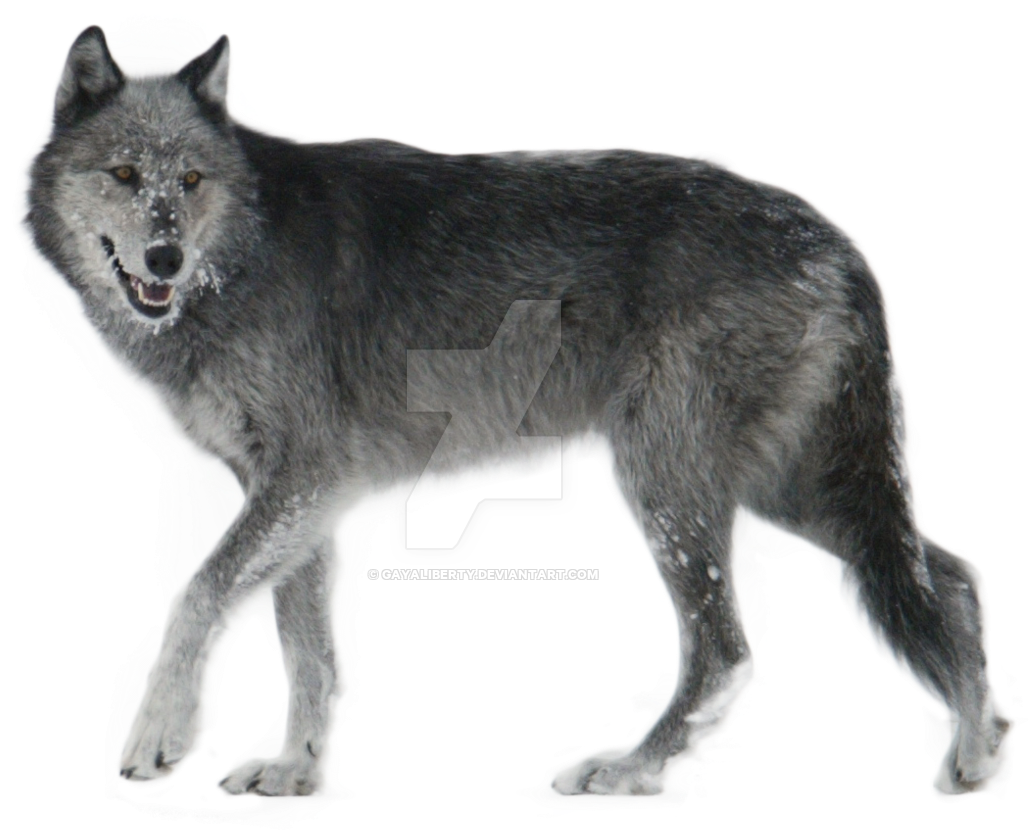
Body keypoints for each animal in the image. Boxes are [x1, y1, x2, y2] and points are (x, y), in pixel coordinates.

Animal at [16, 24, 1020, 807]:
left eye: (189, 181)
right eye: (124, 174)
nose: (164, 257)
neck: (247, 249)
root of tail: (838, 238)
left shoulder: (305, 476)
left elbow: (200, 594)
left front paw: (158, 733)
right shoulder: (305, 495)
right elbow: (307, 647)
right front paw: (297, 771)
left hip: (673, 482)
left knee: (730, 653)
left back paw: (624, 777)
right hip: (791, 490)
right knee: (954, 574)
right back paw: (979, 758)